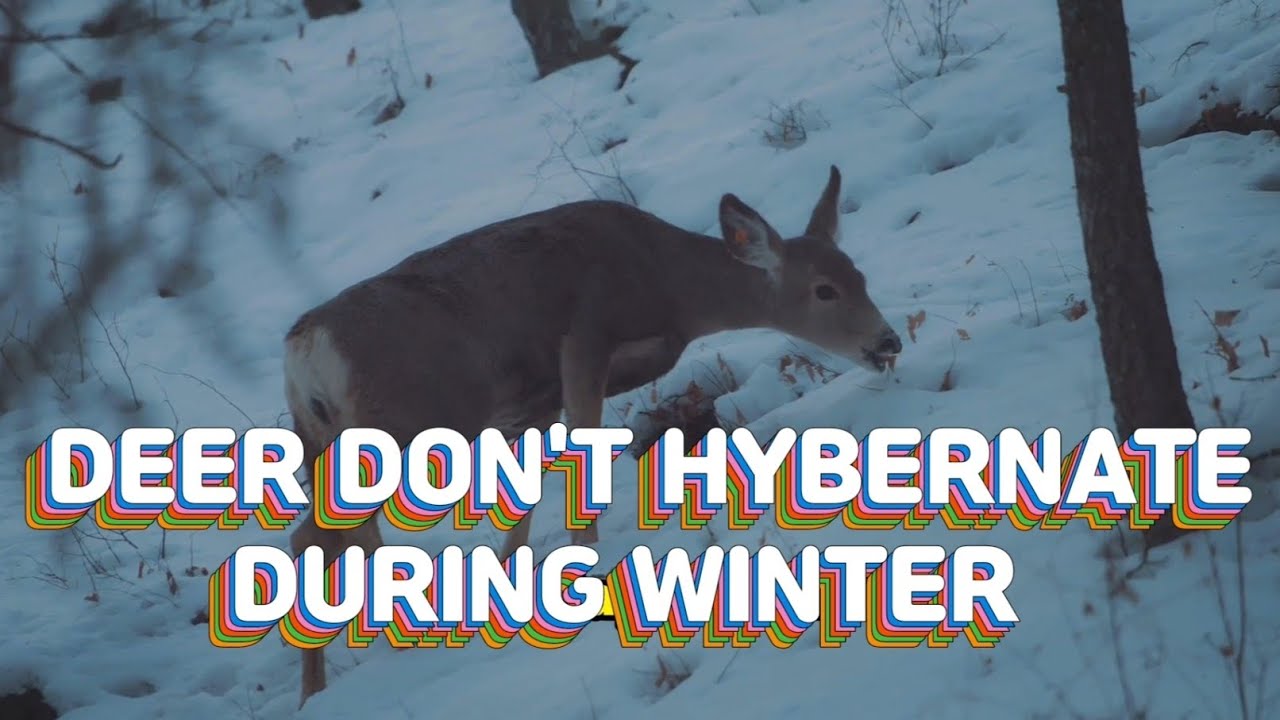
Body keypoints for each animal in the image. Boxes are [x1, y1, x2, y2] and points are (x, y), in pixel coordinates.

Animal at [283, 165, 901, 707]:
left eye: (861, 277)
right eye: (824, 290)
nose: (889, 341)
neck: (669, 284)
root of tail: (305, 350)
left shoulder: (533, 402)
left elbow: (525, 494)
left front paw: (512, 578)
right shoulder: (585, 338)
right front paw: (585, 567)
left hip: (324, 439)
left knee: (317, 535)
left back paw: (319, 686)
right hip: (409, 420)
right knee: (333, 531)